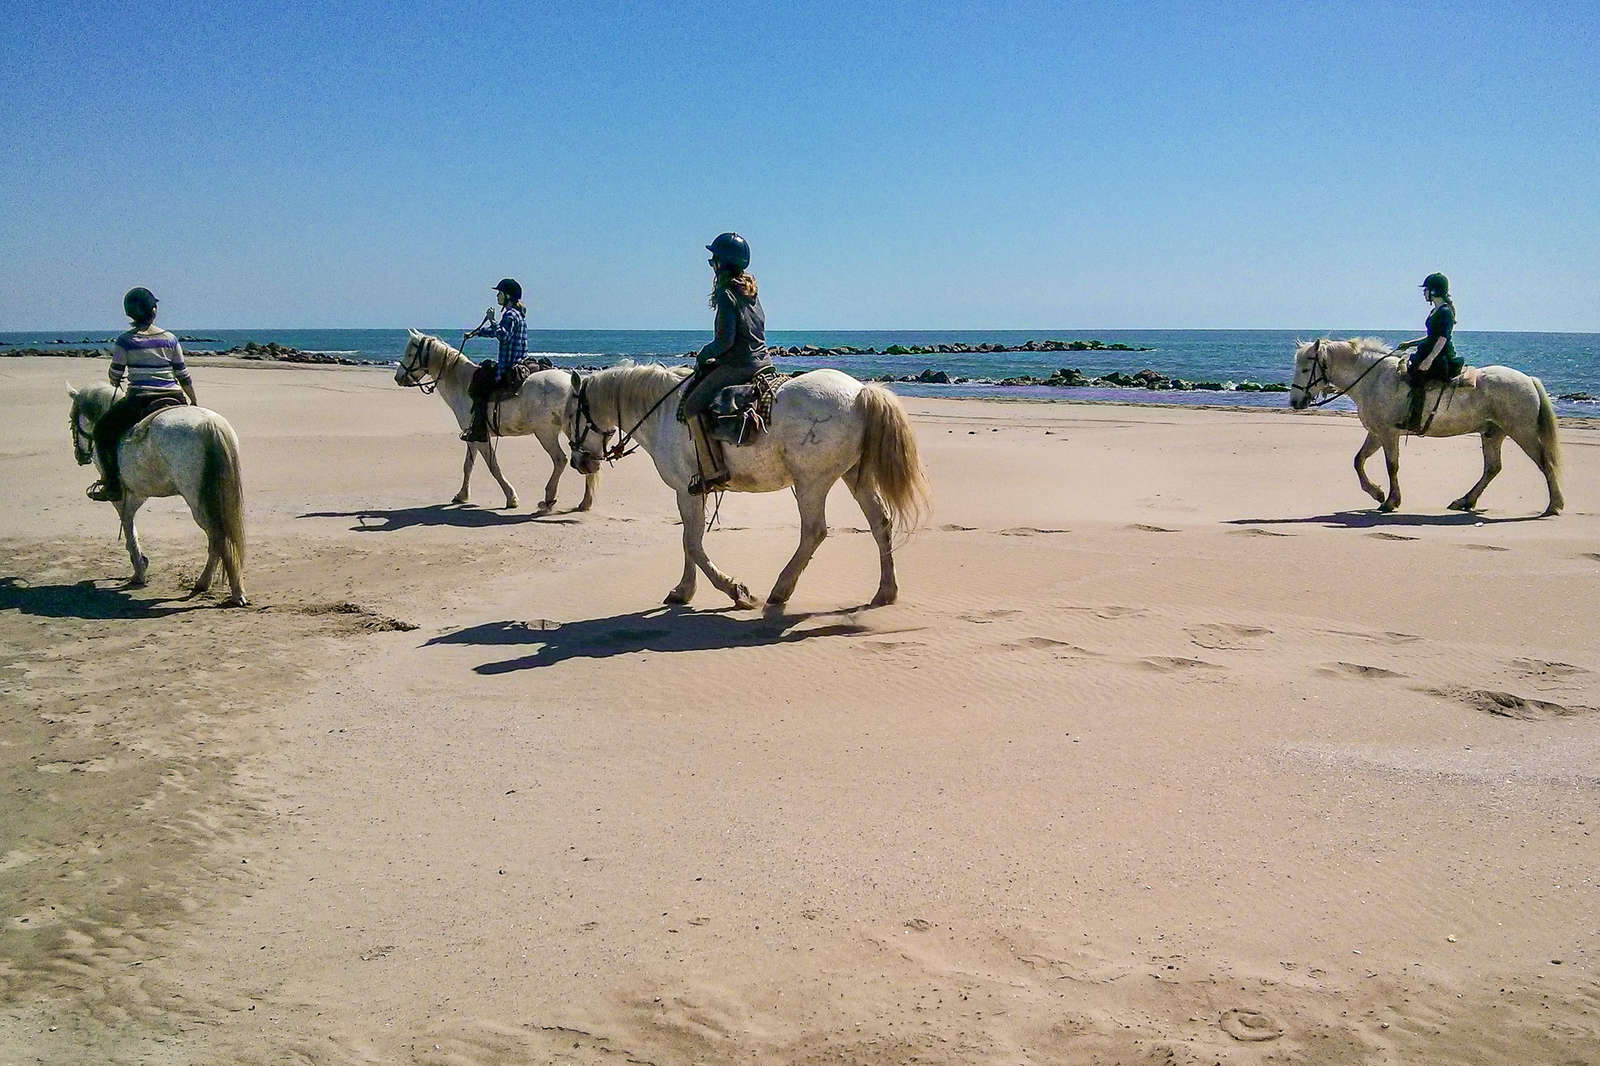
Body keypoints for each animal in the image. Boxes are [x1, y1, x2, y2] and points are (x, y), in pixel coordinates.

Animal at [67, 383, 248, 606]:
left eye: (71, 420)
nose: (79, 456)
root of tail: (209, 424)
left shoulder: (121, 495)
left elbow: (128, 525)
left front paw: (138, 570)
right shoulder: (137, 493)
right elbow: (129, 524)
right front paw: (141, 564)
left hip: (198, 500)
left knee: (217, 535)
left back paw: (224, 588)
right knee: (218, 537)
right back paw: (214, 585)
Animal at [395, 330, 597, 512]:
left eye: (410, 353)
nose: (398, 377)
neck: (462, 383)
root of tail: (574, 386)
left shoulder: (481, 437)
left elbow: (493, 466)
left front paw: (511, 498)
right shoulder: (473, 436)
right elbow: (468, 465)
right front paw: (462, 495)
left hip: (546, 433)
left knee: (560, 460)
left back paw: (548, 499)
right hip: (575, 430)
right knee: (589, 460)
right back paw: (585, 502)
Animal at [567, 364, 930, 609]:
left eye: (571, 414)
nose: (578, 462)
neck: (663, 414)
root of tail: (860, 392)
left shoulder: (685, 491)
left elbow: (692, 543)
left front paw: (735, 590)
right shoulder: (691, 493)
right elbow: (689, 541)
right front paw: (684, 591)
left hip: (811, 482)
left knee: (814, 531)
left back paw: (780, 589)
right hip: (855, 475)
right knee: (880, 523)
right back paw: (885, 592)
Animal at [1289, 338, 1563, 516]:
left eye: (1305, 368)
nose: (1294, 402)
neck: (1373, 379)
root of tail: (1528, 379)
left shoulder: (1388, 433)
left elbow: (1392, 466)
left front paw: (1390, 501)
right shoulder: (1376, 433)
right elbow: (1358, 461)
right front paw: (1376, 493)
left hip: (1522, 432)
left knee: (1544, 462)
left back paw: (1554, 505)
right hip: (1492, 433)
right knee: (1492, 468)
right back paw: (1465, 501)